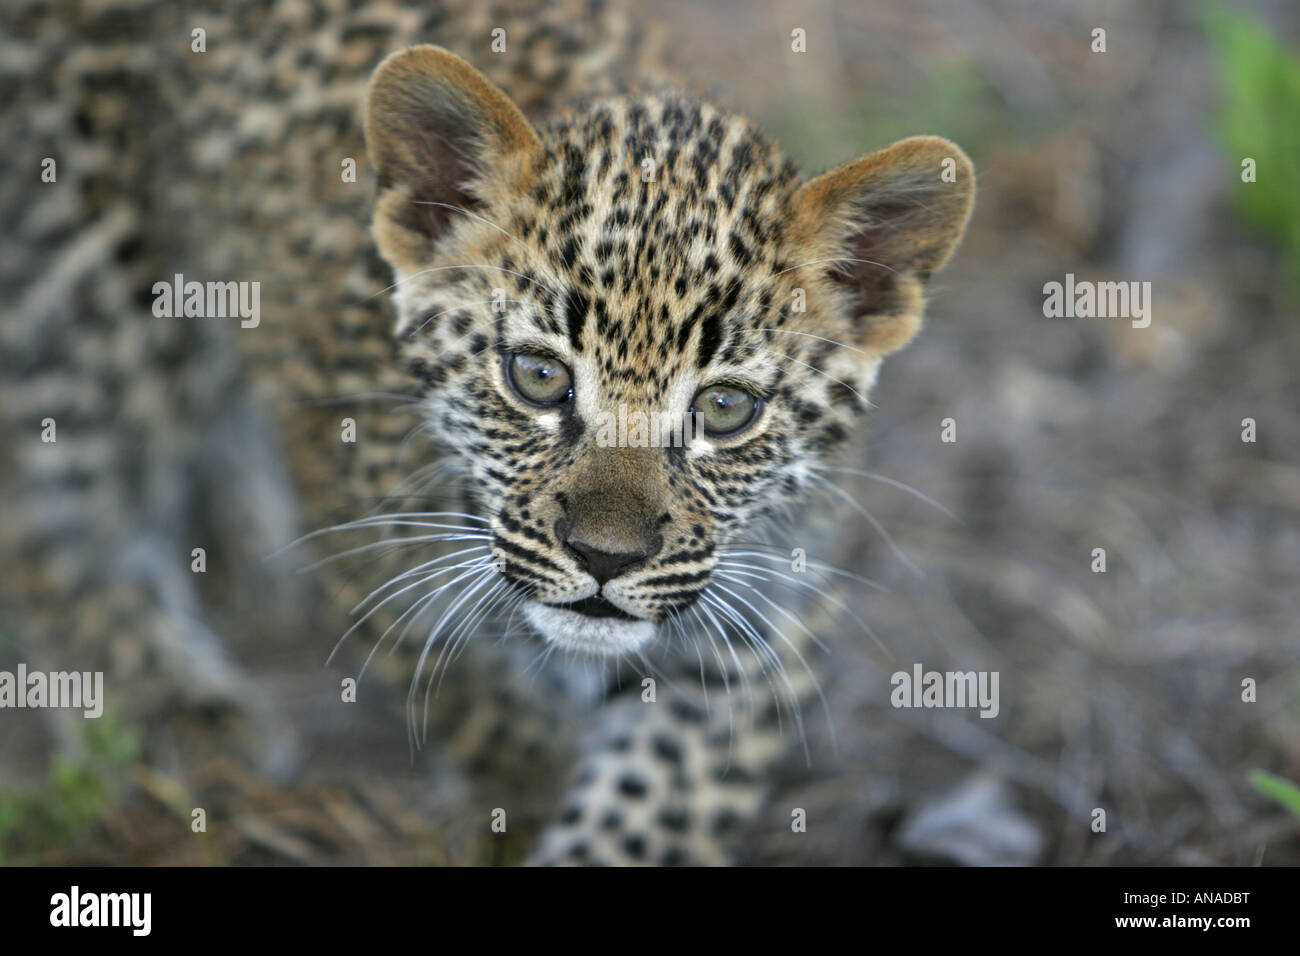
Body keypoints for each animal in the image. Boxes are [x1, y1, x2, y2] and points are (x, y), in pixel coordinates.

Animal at [0, 0, 973, 866]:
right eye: (537, 377)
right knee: (57, 504)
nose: (606, 557)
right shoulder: (379, 556)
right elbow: (485, 706)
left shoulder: (767, 616)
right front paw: (522, 794)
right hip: (88, 248)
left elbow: (656, 800)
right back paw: (181, 715)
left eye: (727, 409)